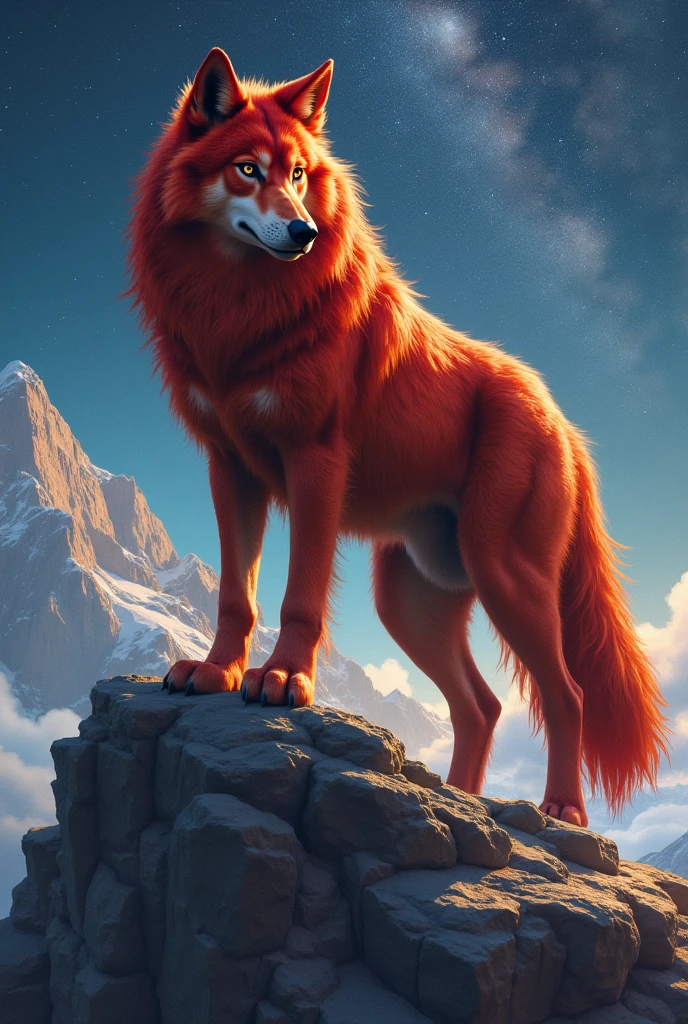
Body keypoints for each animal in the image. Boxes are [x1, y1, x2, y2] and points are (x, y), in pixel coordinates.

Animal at [127, 48, 669, 826]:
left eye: (299, 174)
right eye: (248, 169)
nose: (304, 234)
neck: (239, 310)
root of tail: (563, 419)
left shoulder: (315, 462)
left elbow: (298, 596)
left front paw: (284, 679)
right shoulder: (230, 468)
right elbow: (236, 592)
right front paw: (217, 671)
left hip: (507, 575)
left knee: (566, 695)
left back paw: (560, 810)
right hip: (412, 602)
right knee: (482, 706)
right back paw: (464, 802)